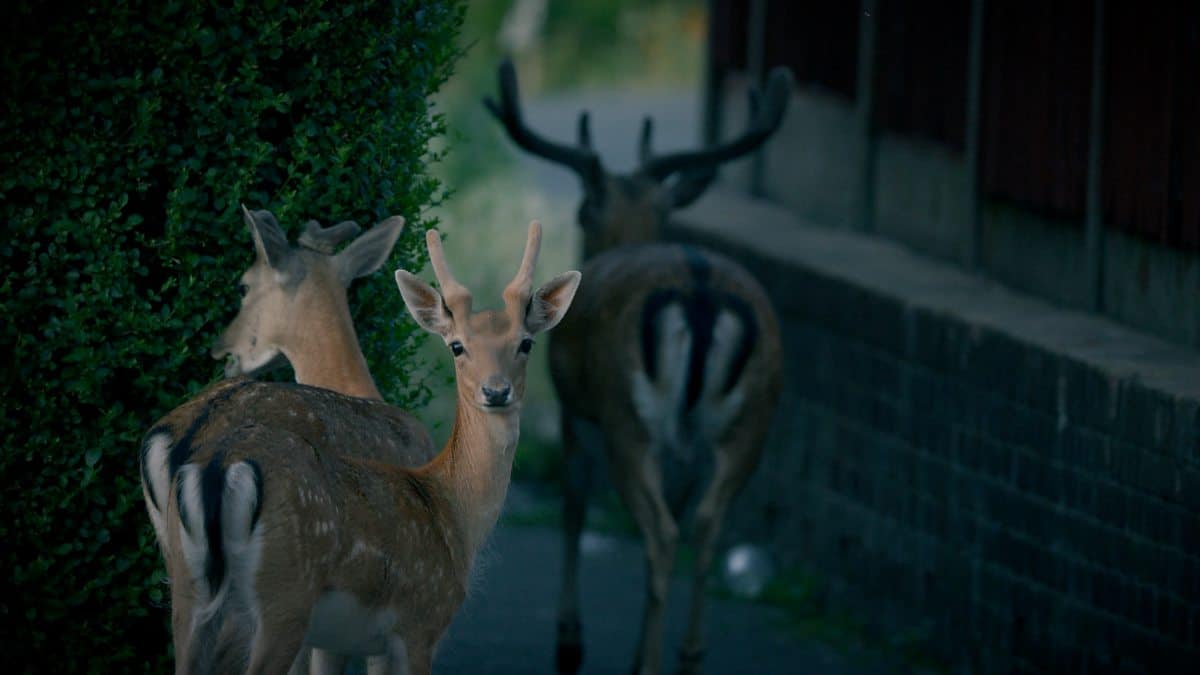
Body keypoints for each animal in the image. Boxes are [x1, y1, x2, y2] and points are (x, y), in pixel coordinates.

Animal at [485, 59, 790, 675]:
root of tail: (699, 291)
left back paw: (646, 662)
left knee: (662, 533)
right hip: (752, 417)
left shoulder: (575, 407)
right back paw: (689, 653)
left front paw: (570, 640)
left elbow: (573, 505)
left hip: (626, 414)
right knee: (705, 523)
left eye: (581, 209)